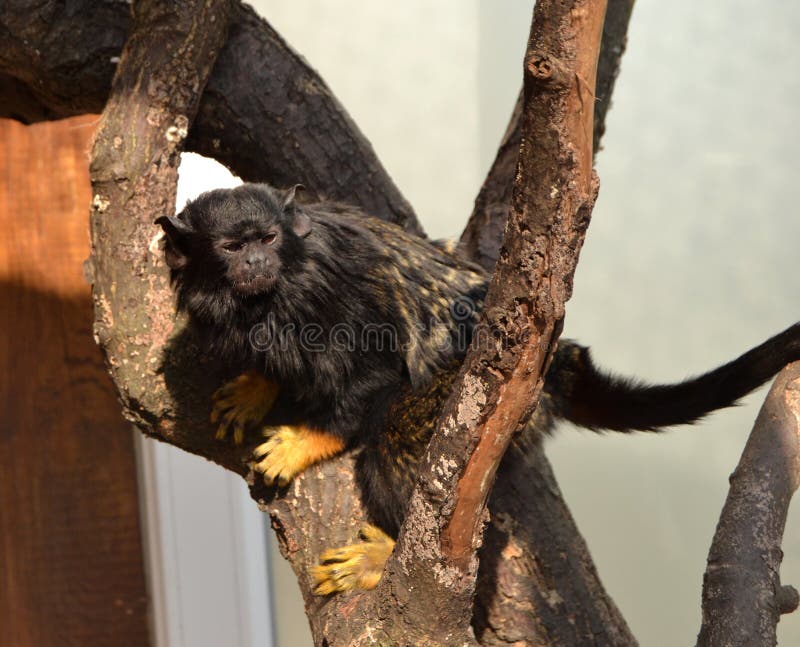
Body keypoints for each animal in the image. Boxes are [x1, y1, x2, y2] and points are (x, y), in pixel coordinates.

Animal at [157, 182, 800, 595]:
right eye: (233, 247)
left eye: (266, 238)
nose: (256, 263)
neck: (267, 294)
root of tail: (553, 365)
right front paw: (257, 387)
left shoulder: (332, 296)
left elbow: (371, 373)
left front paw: (302, 439)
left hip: (483, 404)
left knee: (395, 436)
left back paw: (387, 555)